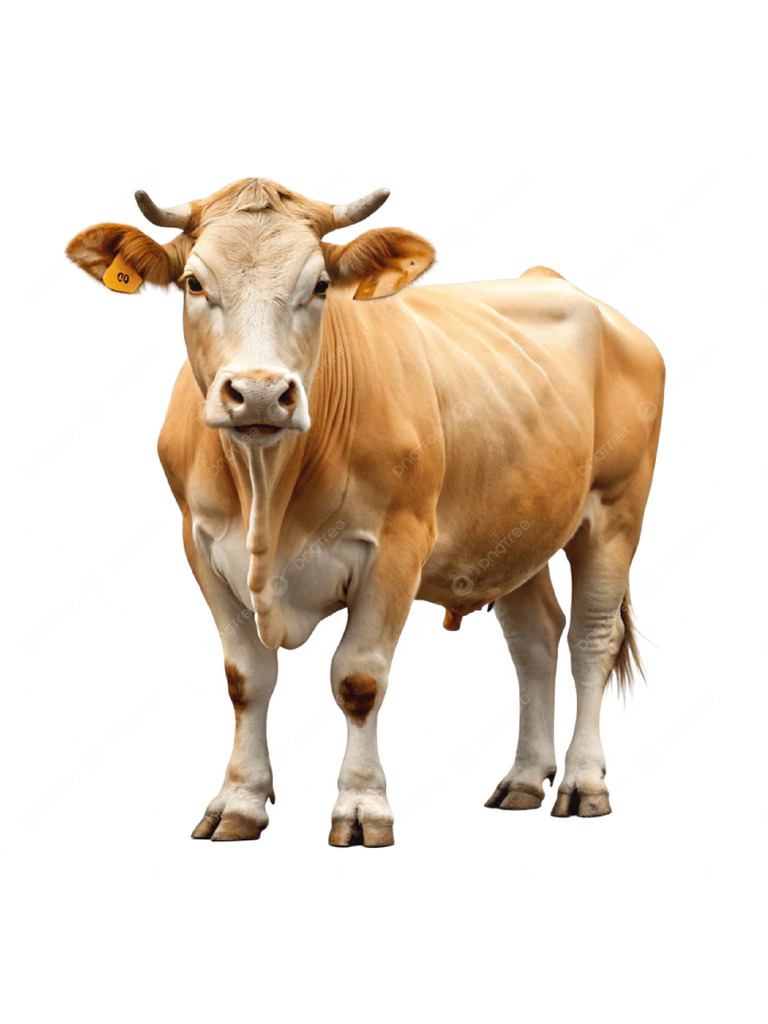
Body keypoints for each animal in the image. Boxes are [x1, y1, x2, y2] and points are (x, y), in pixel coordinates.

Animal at [66, 178, 664, 846]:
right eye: (194, 282)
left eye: (322, 284)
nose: (260, 393)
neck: (268, 495)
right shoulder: (202, 548)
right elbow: (246, 679)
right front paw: (238, 800)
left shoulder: (396, 549)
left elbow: (358, 679)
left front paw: (361, 806)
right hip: (515, 528)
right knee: (535, 639)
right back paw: (522, 780)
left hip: (615, 512)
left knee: (592, 639)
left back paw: (584, 783)